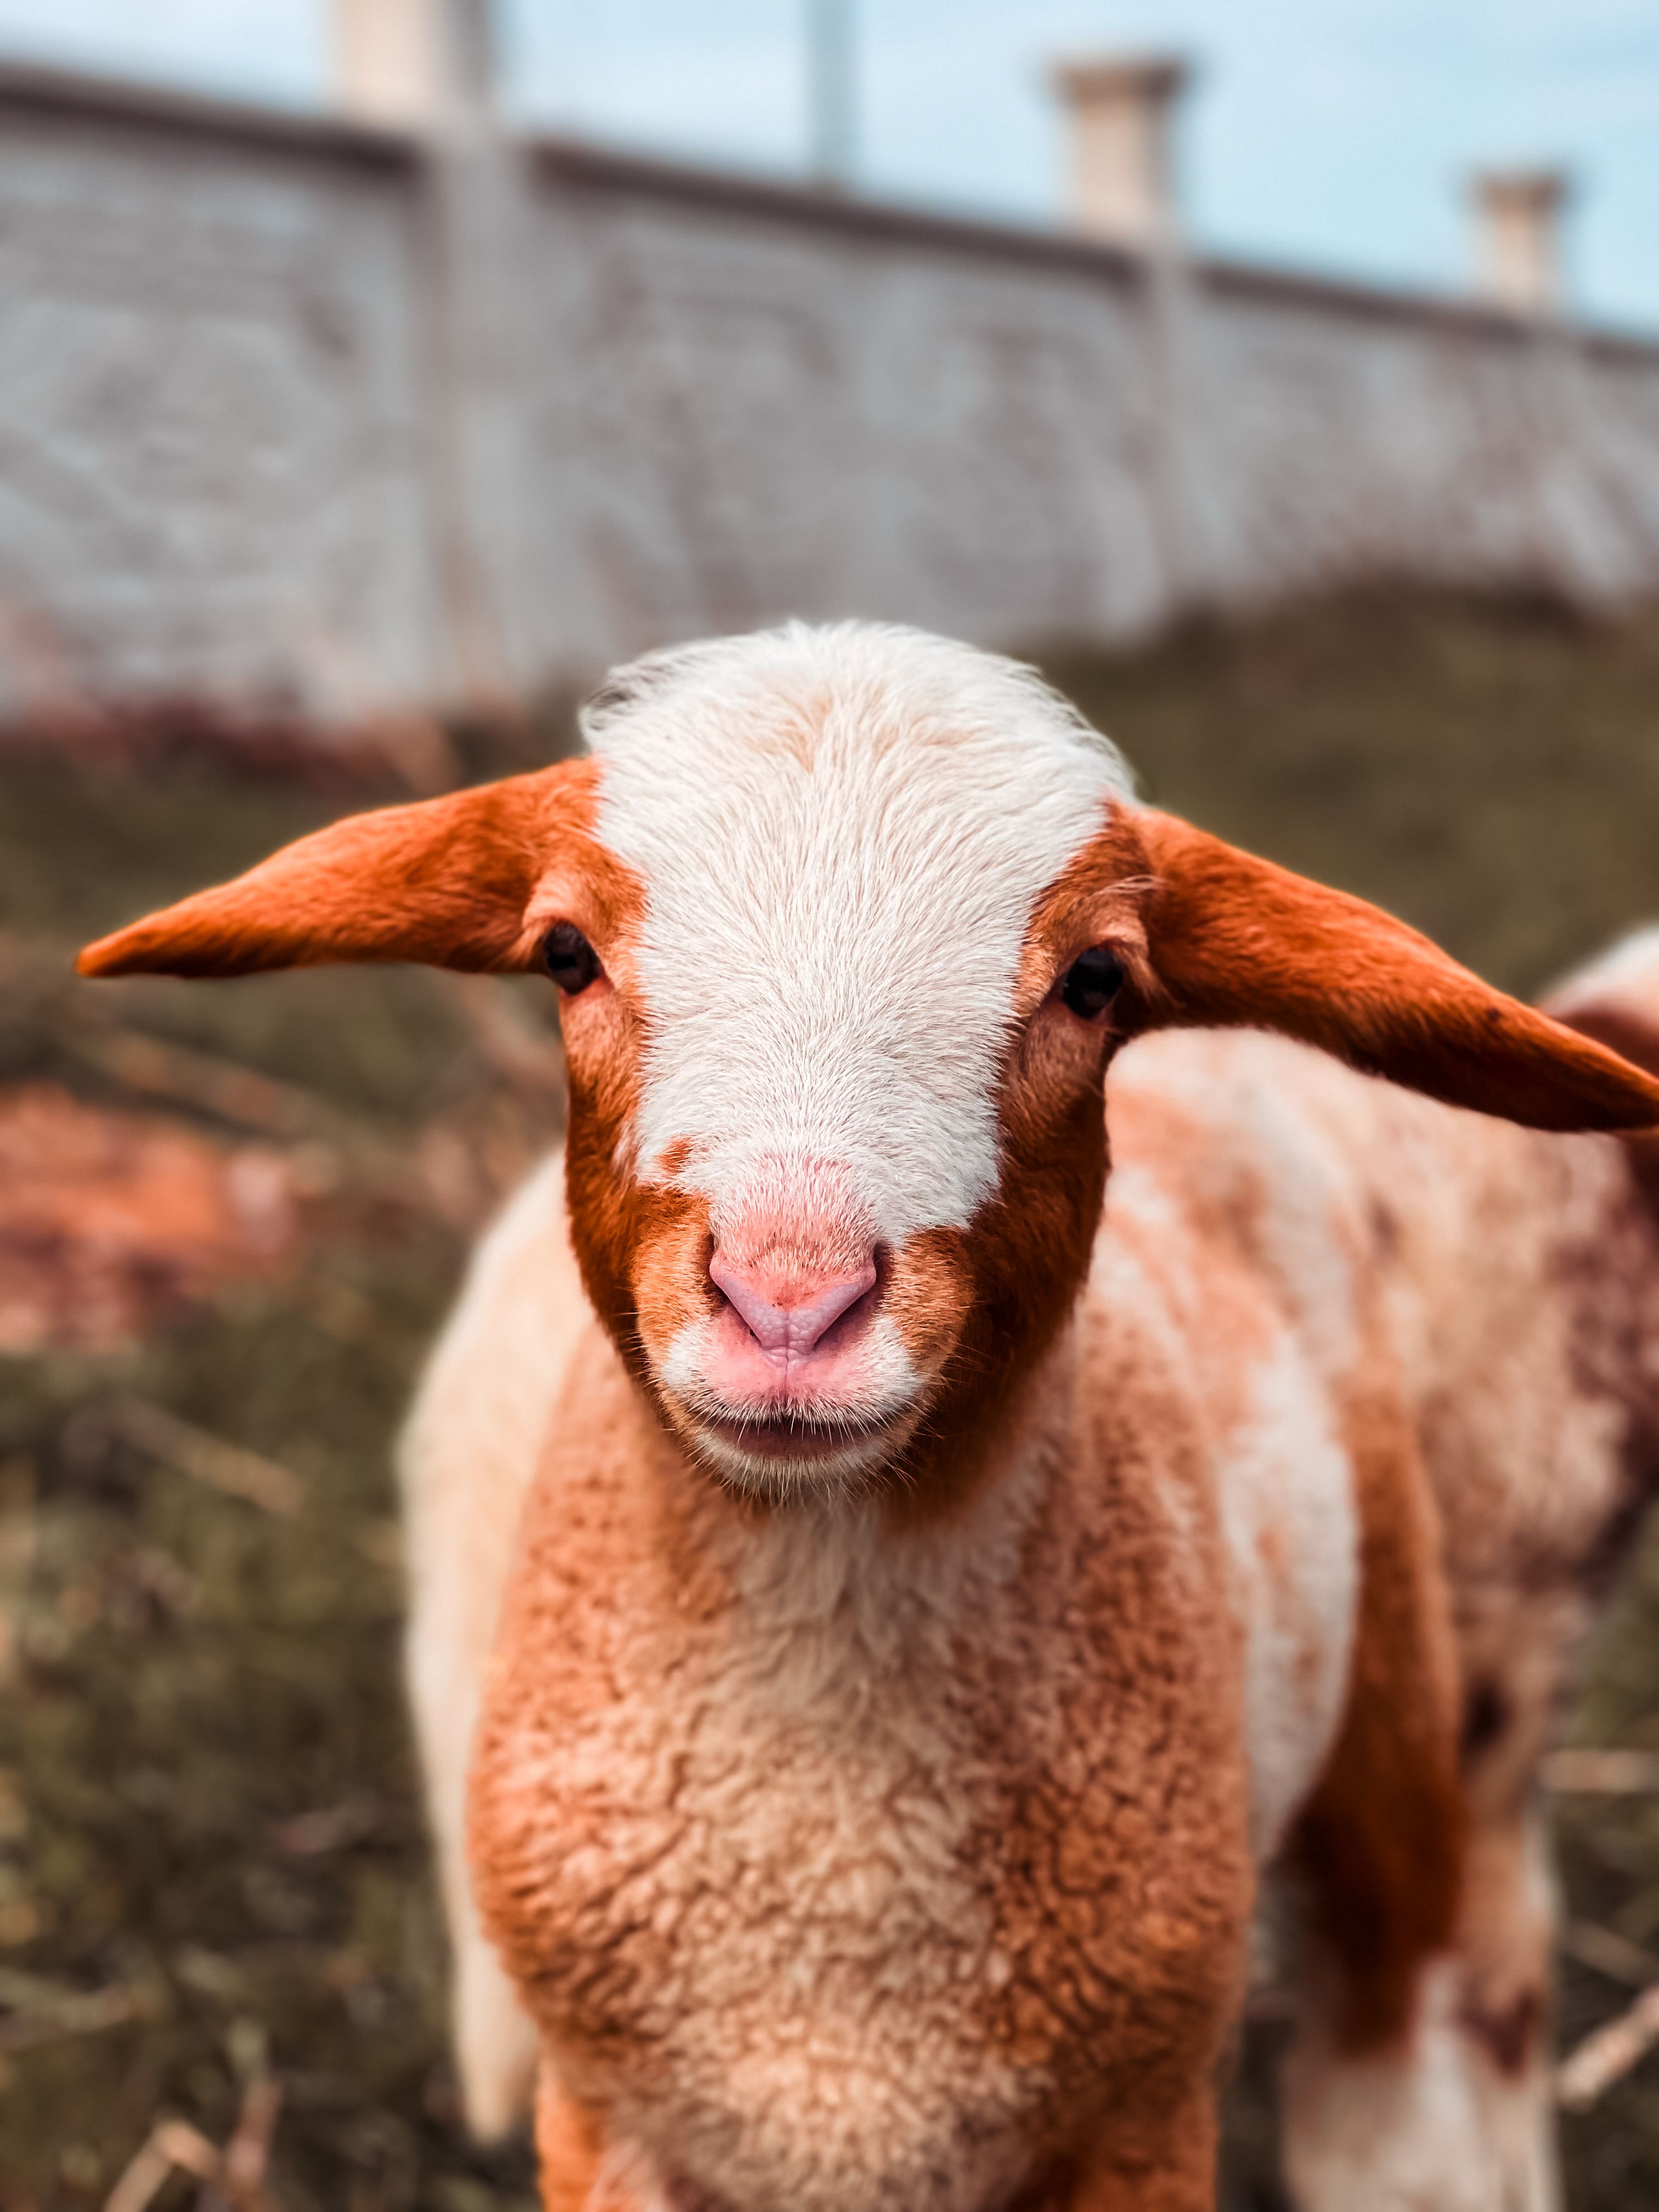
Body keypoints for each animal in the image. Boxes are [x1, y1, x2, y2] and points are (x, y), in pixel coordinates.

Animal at [77, 621, 1659, 2212]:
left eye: (1097, 980)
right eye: (567, 955)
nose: (790, 1302)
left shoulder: (1141, 2120)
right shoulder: (608, 2120)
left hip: (1411, 1689)